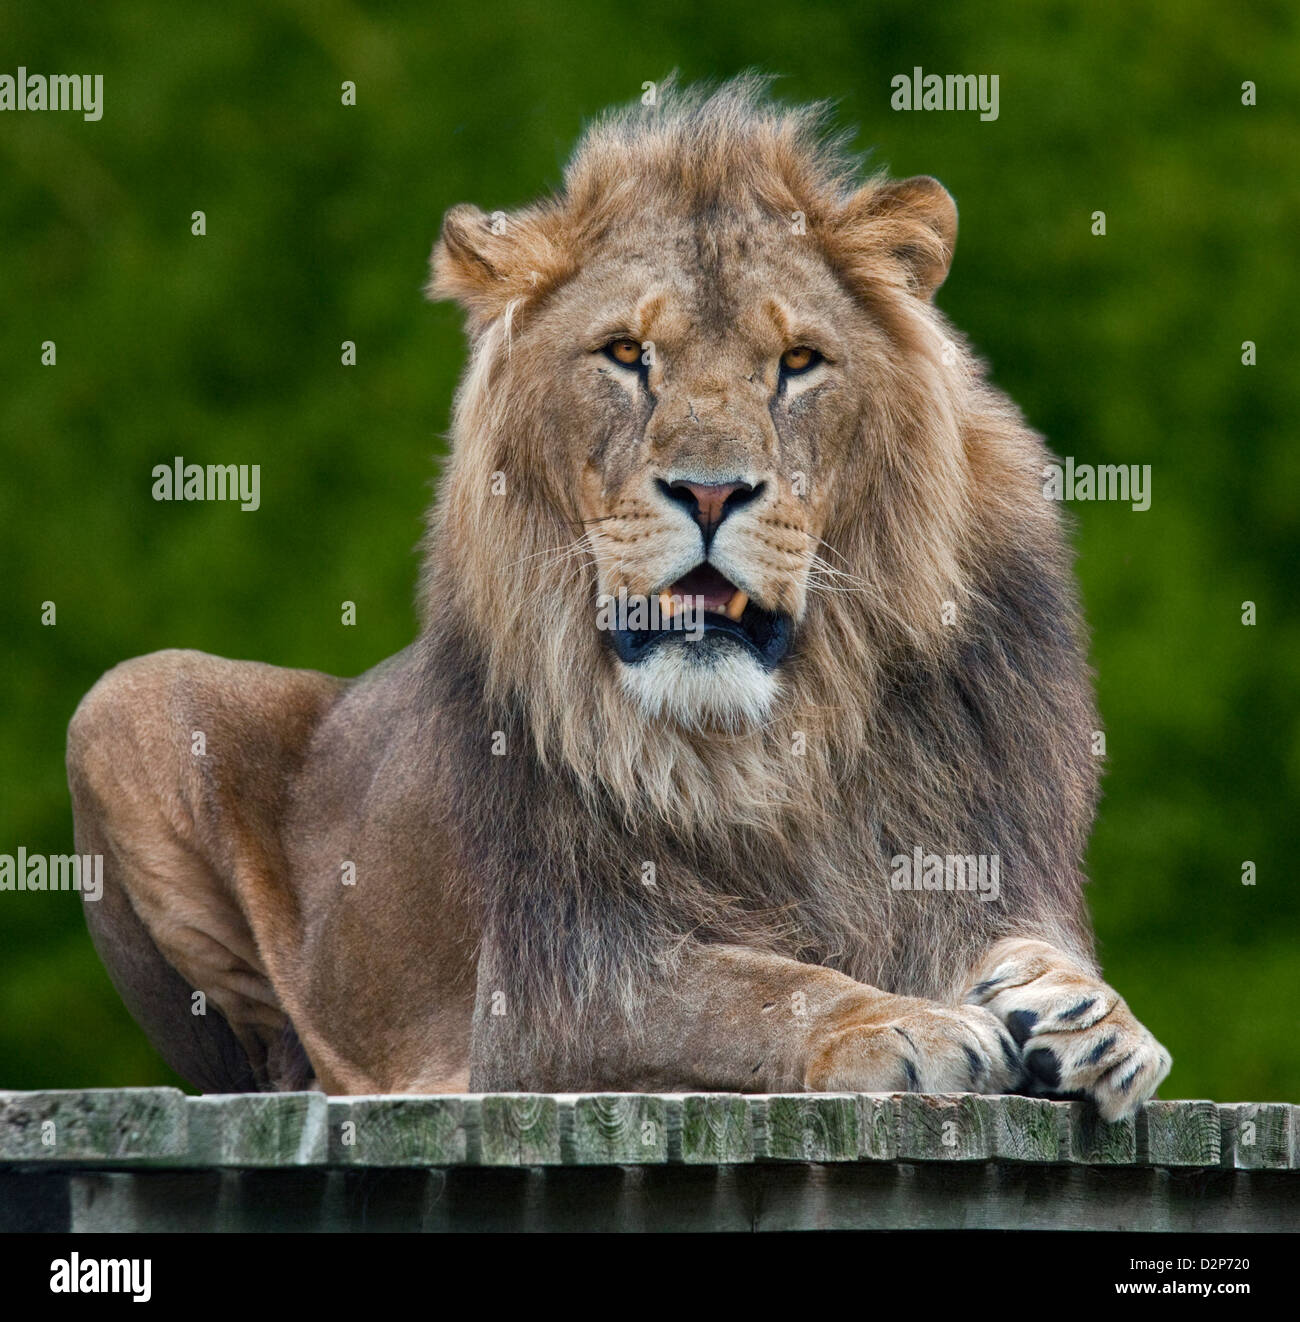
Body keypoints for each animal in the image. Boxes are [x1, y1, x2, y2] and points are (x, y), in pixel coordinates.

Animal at [67, 77, 1170, 1118]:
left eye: (798, 362)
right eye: (627, 354)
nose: (711, 491)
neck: (777, 747)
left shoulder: (986, 859)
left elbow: (1036, 951)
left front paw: (1092, 1018)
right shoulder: (550, 990)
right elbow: (752, 989)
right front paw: (899, 1023)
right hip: (123, 701)